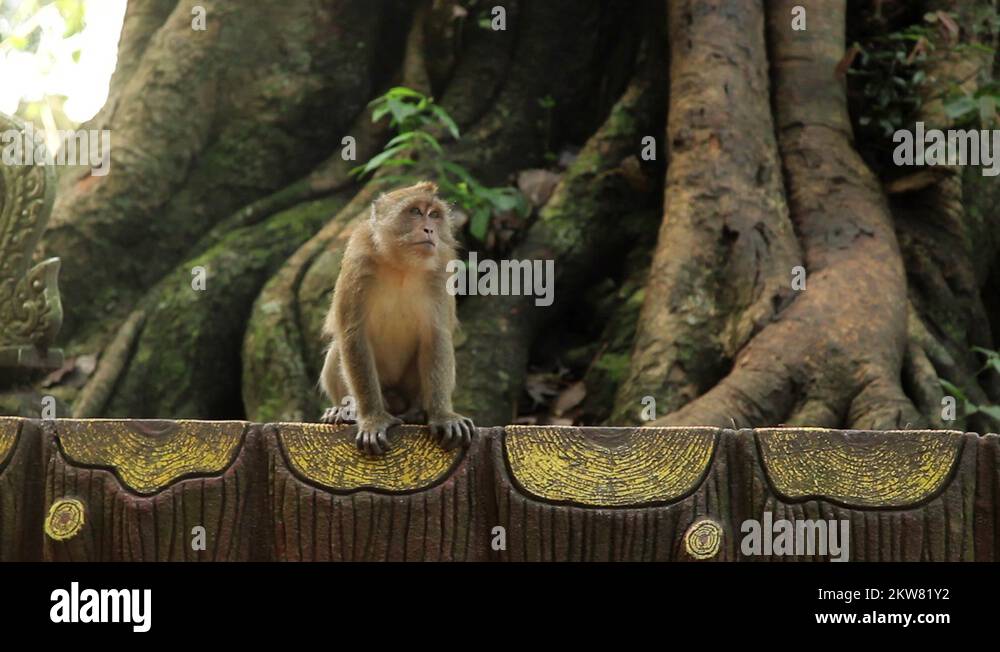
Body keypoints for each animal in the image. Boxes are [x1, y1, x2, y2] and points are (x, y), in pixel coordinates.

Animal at [319, 181, 475, 455]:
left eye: (434, 215)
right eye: (415, 211)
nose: (429, 229)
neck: (402, 265)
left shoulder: (441, 269)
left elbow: (436, 336)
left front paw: (443, 416)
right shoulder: (359, 261)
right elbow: (353, 333)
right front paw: (373, 419)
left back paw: (416, 413)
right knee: (339, 348)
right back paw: (345, 410)